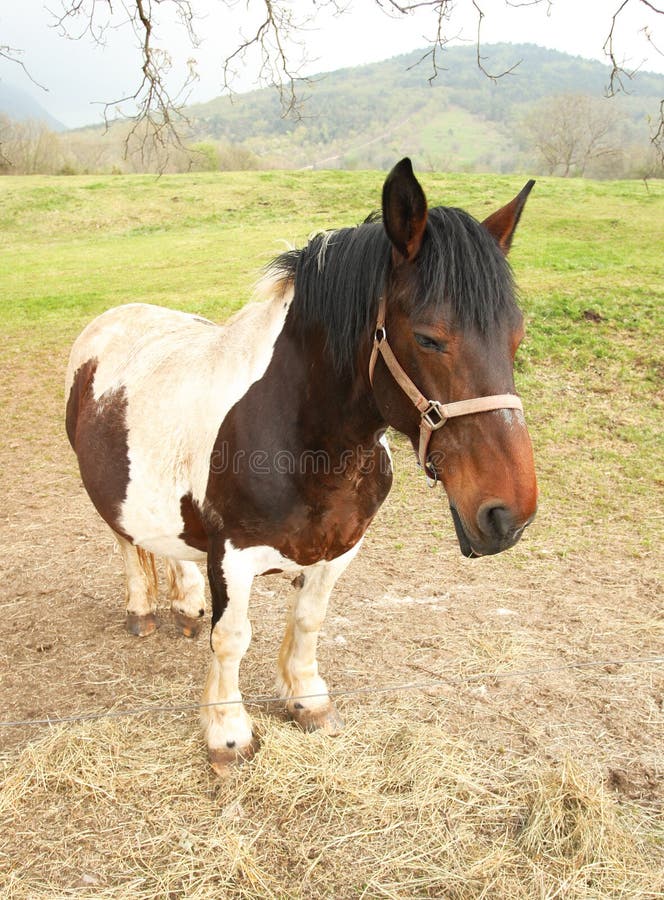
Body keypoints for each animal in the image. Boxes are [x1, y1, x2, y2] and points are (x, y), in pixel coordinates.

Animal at [65, 158, 537, 774]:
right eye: (429, 337)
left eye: (517, 335)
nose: (510, 515)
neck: (303, 441)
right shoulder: (232, 555)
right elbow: (232, 639)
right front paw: (228, 735)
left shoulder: (339, 547)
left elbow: (309, 621)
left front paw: (307, 700)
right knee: (127, 542)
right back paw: (143, 609)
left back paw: (186, 604)